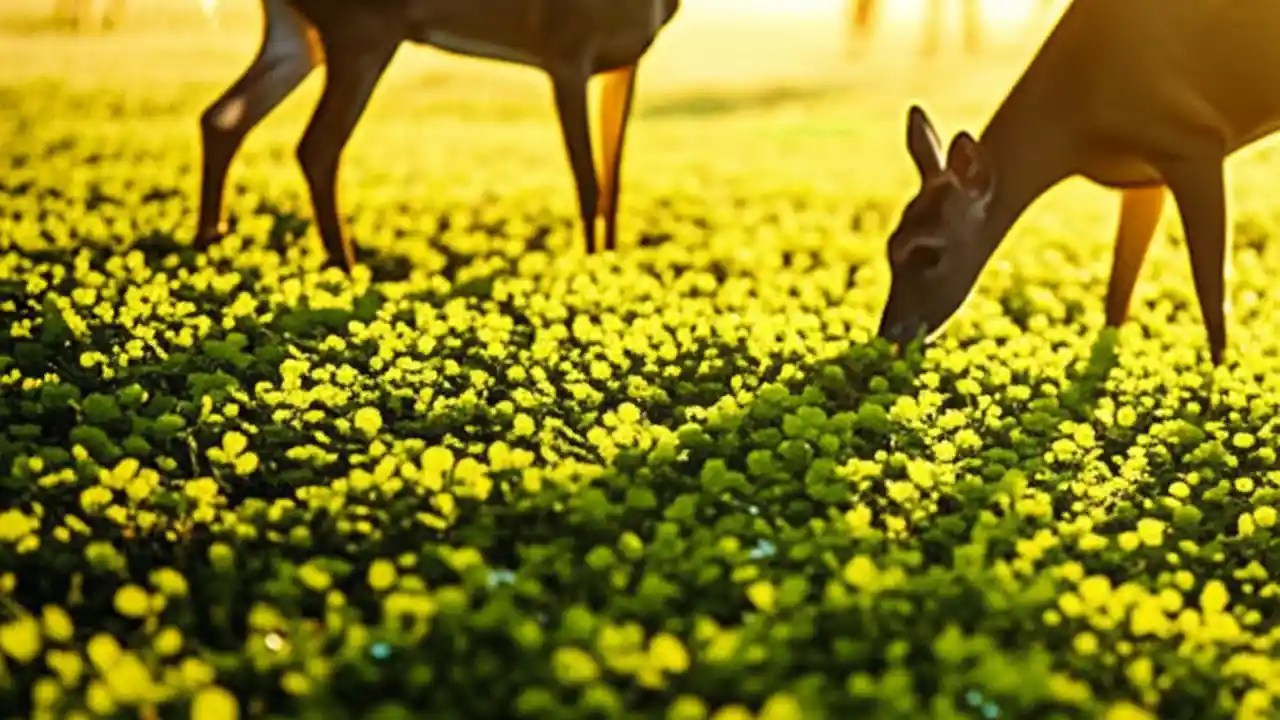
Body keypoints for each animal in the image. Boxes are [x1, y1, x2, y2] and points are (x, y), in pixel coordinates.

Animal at [196, 0, 681, 272]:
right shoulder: (565, 52)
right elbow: (588, 180)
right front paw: (590, 271)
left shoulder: (623, 64)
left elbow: (613, 180)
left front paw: (610, 268)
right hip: (362, 35)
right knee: (316, 144)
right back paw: (347, 269)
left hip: (298, 36)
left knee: (221, 118)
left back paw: (207, 245)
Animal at [875, 0, 1280, 366]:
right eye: (890, 245)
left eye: (929, 253)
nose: (889, 333)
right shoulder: (1145, 178)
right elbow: (1119, 287)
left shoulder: (1195, 145)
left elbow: (1209, 285)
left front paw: (1219, 375)